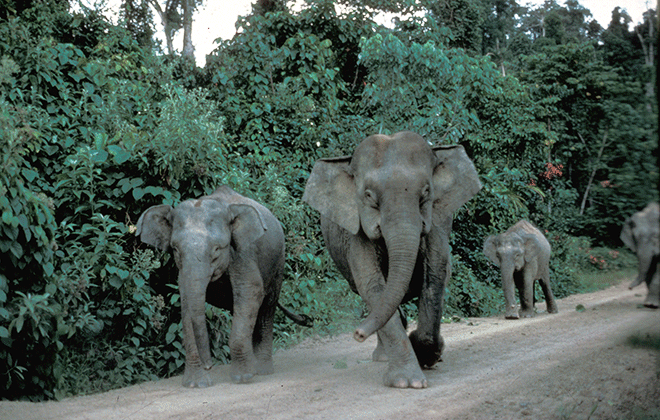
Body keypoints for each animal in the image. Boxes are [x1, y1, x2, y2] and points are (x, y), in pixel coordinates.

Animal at [136, 185, 309, 388]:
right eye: (175, 249)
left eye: (218, 249)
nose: (209, 365)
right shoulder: (183, 272)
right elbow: (187, 303)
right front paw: (196, 384)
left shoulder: (243, 253)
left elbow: (251, 292)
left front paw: (243, 378)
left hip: (278, 263)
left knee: (267, 307)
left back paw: (262, 370)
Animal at [302, 131, 482, 389]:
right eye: (368, 196)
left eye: (426, 192)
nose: (357, 334)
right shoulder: (355, 231)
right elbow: (372, 285)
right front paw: (407, 382)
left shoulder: (439, 220)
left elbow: (436, 274)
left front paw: (427, 353)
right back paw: (383, 356)